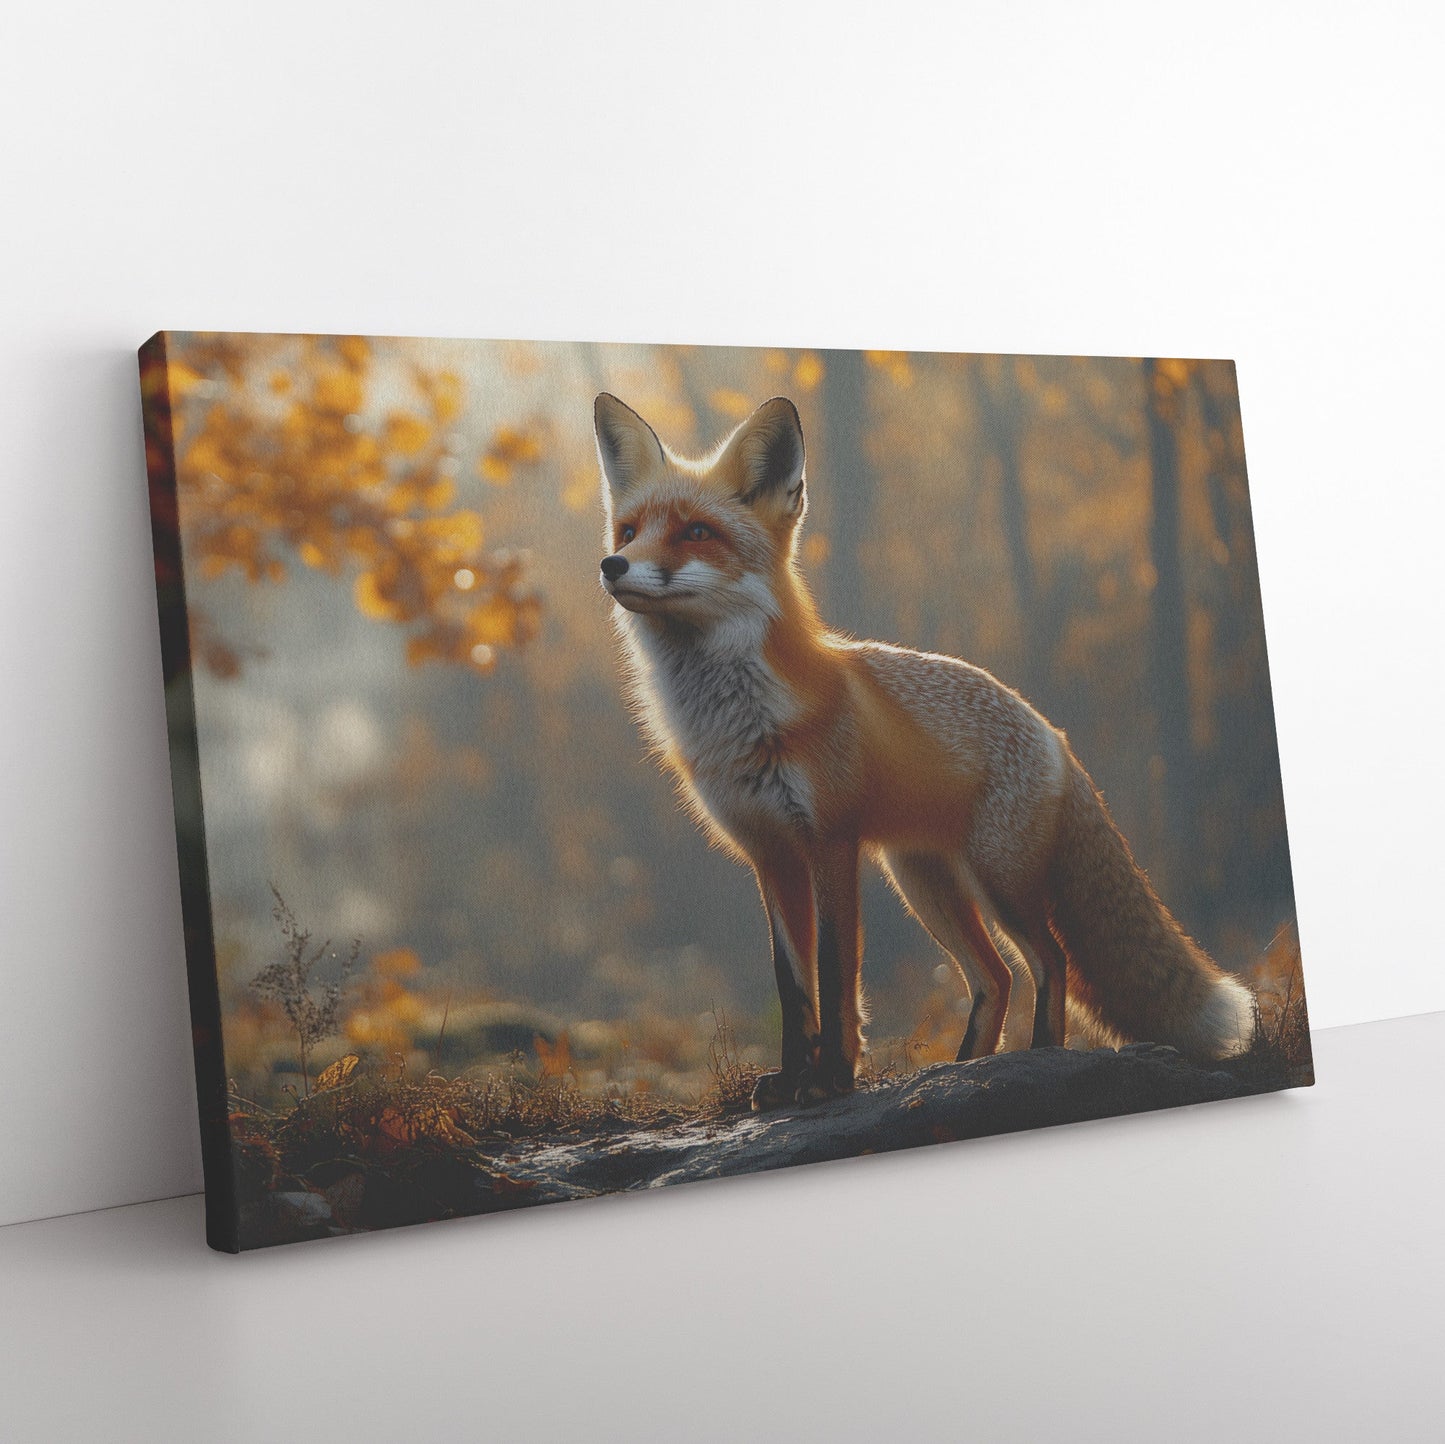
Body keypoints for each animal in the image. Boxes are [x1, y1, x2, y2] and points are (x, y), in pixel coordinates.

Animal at [594, 391, 1255, 1111]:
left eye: (695, 532)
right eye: (627, 532)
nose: (612, 566)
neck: (740, 719)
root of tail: (1051, 731)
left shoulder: (830, 841)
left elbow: (835, 974)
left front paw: (830, 1080)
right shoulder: (770, 854)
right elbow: (791, 986)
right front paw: (792, 1080)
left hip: (996, 879)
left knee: (1049, 960)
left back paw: (1039, 1059)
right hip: (924, 884)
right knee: (995, 977)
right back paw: (960, 1071)